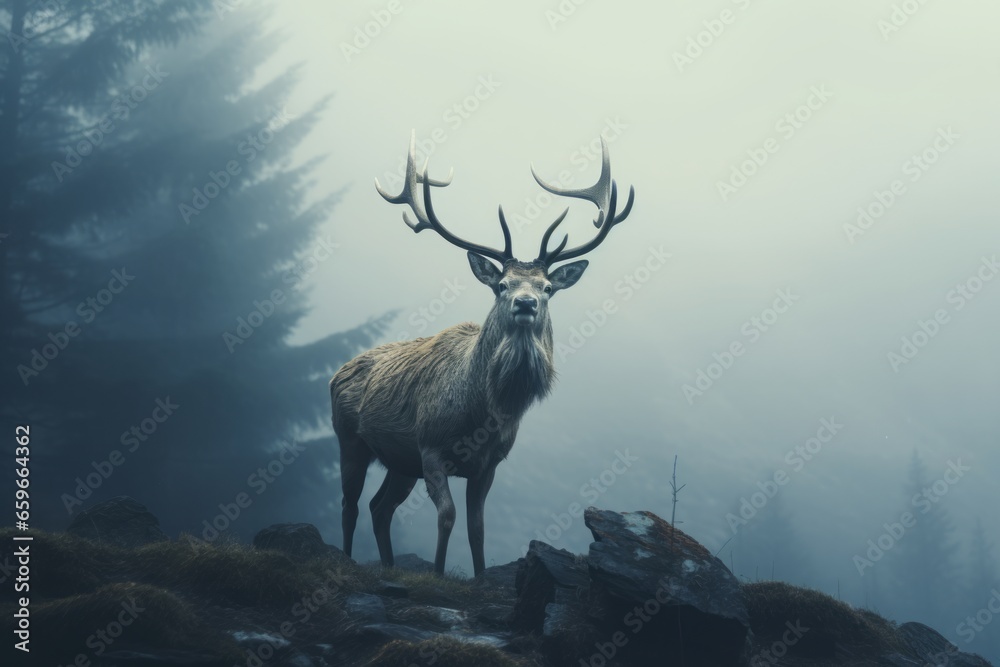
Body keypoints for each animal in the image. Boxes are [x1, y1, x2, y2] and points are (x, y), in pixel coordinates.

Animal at [330, 132, 634, 576]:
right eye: (502, 284)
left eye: (546, 287)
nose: (525, 303)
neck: (482, 415)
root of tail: (337, 372)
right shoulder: (431, 449)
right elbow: (447, 517)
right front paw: (438, 573)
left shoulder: (488, 465)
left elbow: (477, 528)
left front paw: (477, 577)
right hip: (350, 439)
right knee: (350, 505)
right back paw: (348, 558)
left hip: (399, 461)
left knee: (379, 507)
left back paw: (387, 566)